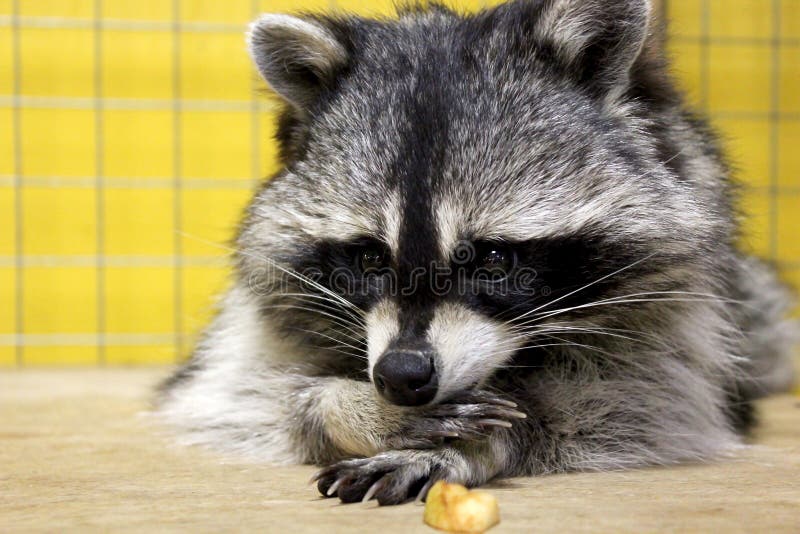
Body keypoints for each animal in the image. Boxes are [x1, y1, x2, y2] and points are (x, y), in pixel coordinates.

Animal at [157, 0, 797, 505]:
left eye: (491, 260)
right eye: (369, 260)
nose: (400, 378)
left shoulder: (684, 313)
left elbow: (645, 401)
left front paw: (487, 442)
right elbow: (231, 394)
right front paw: (347, 407)